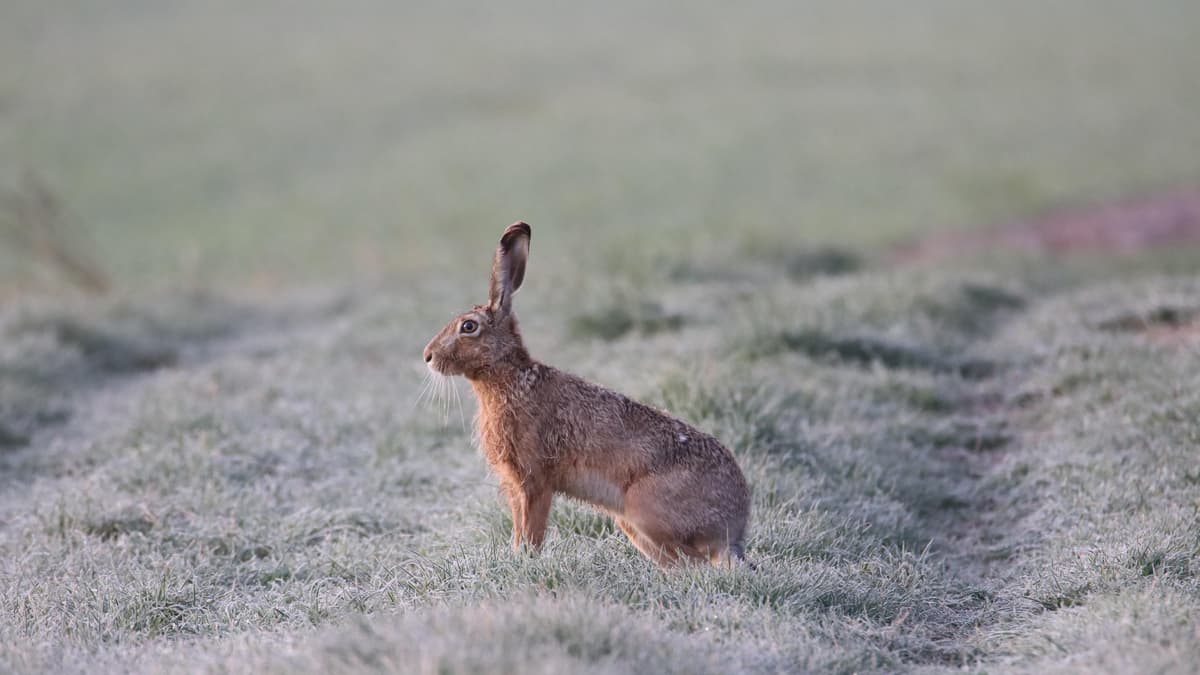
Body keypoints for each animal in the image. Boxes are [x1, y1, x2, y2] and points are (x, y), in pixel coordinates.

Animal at [423, 222, 751, 567]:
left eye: (468, 327)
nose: (428, 356)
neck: (508, 378)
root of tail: (733, 529)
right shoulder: (517, 486)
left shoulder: (534, 481)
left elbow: (530, 531)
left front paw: (525, 561)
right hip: (632, 524)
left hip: (644, 511)